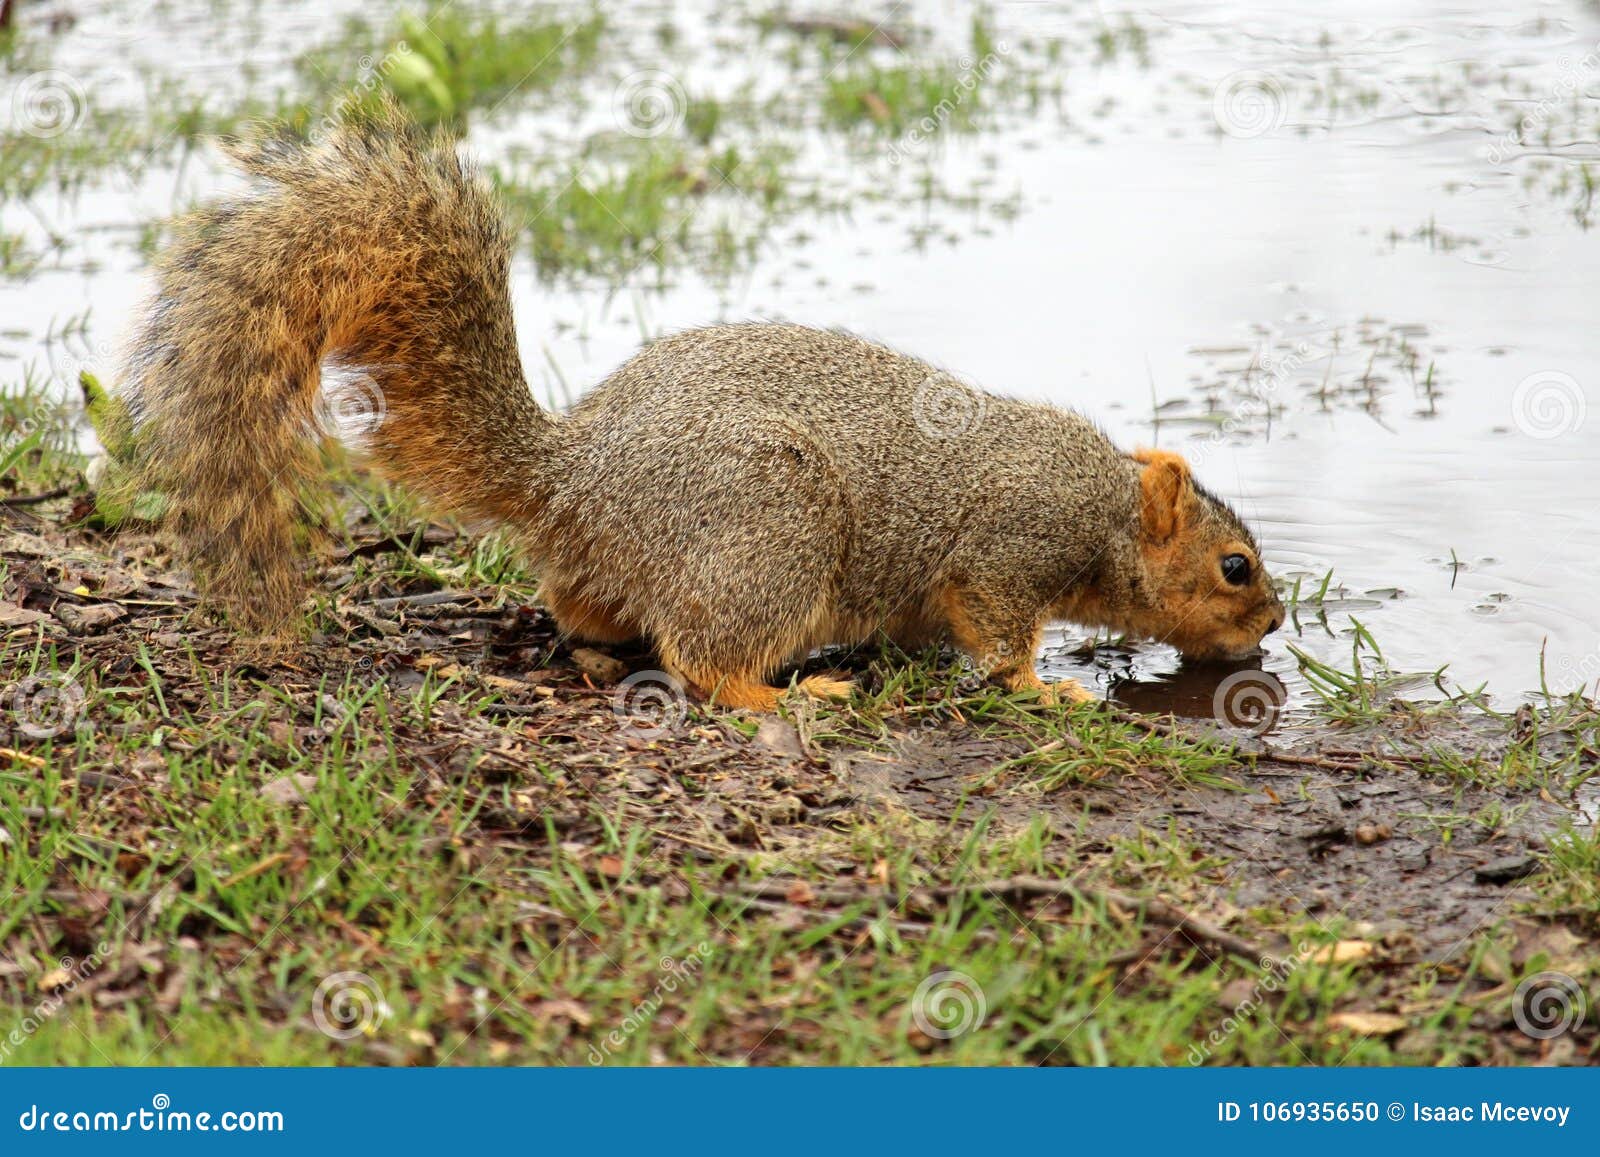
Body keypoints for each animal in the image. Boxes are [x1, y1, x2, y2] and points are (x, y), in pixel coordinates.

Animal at [117, 104, 1284, 712]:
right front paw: (1048, 687)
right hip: (769, 529)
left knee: (595, 611)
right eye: (1235, 566)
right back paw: (784, 694)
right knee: (701, 656)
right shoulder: (1011, 543)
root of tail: (570, 480)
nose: (1276, 621)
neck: (1104, 509)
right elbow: (999, 632)